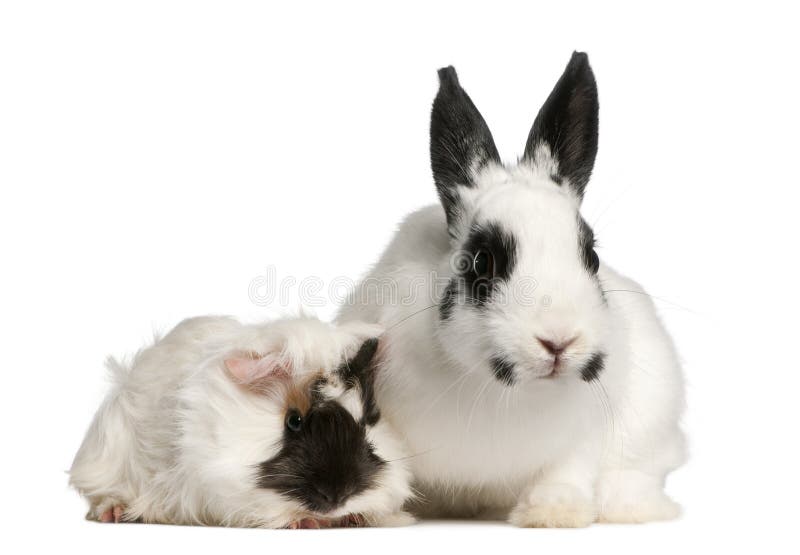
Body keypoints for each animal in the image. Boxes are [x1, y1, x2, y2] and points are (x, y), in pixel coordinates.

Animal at [69, 315, 414, 528]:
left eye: (367, 419)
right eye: (294, 421)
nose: (337, 497)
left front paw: (354, 518)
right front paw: (304, 522)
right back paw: (114, 513)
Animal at [337, 52, 686, 527]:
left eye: (591, 258)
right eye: (482, 262)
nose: (559, 341)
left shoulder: (589, 432)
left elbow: (569, 467)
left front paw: (553, 513)